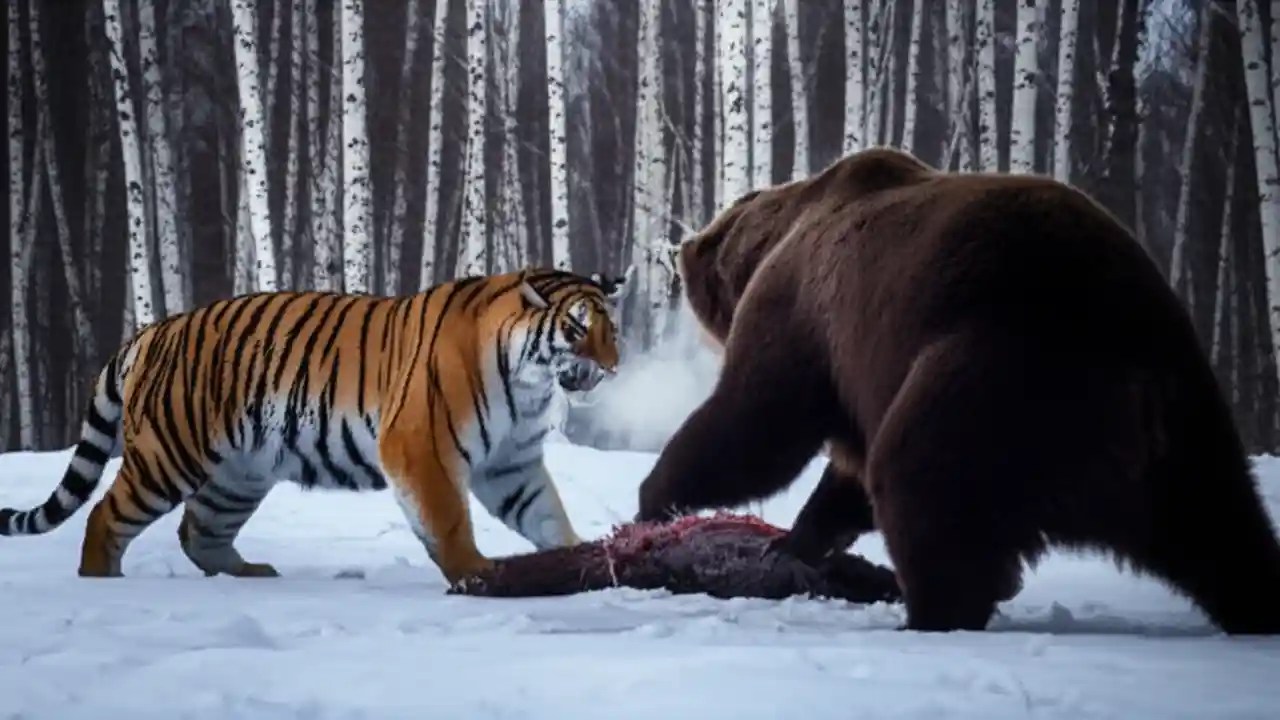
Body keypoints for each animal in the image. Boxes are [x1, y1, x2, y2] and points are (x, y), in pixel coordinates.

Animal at [0, 267, 629, 586]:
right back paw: (101, 580)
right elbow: (447, 519)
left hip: (240, 474)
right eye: (577, 329)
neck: (529, 381)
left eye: (612, 329)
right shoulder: (420, 445)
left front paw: (585, 555)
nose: (615, 367)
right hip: (166, 455)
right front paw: (474, 572)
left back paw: (249, 572)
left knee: (198, 529)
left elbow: (546, 513)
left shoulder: (510, 463)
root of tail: (152, 331)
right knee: (106, 516)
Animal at [634, 146, 1280, 634]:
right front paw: (793, 543)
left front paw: (653, 500)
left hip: (994, 374)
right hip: (1189, 422)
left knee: (921, 482)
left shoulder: (808, 312)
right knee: (1224, 529)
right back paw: (1255, 607)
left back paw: (929, 614)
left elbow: (755, 423)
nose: (678, 247)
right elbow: (842, 477)